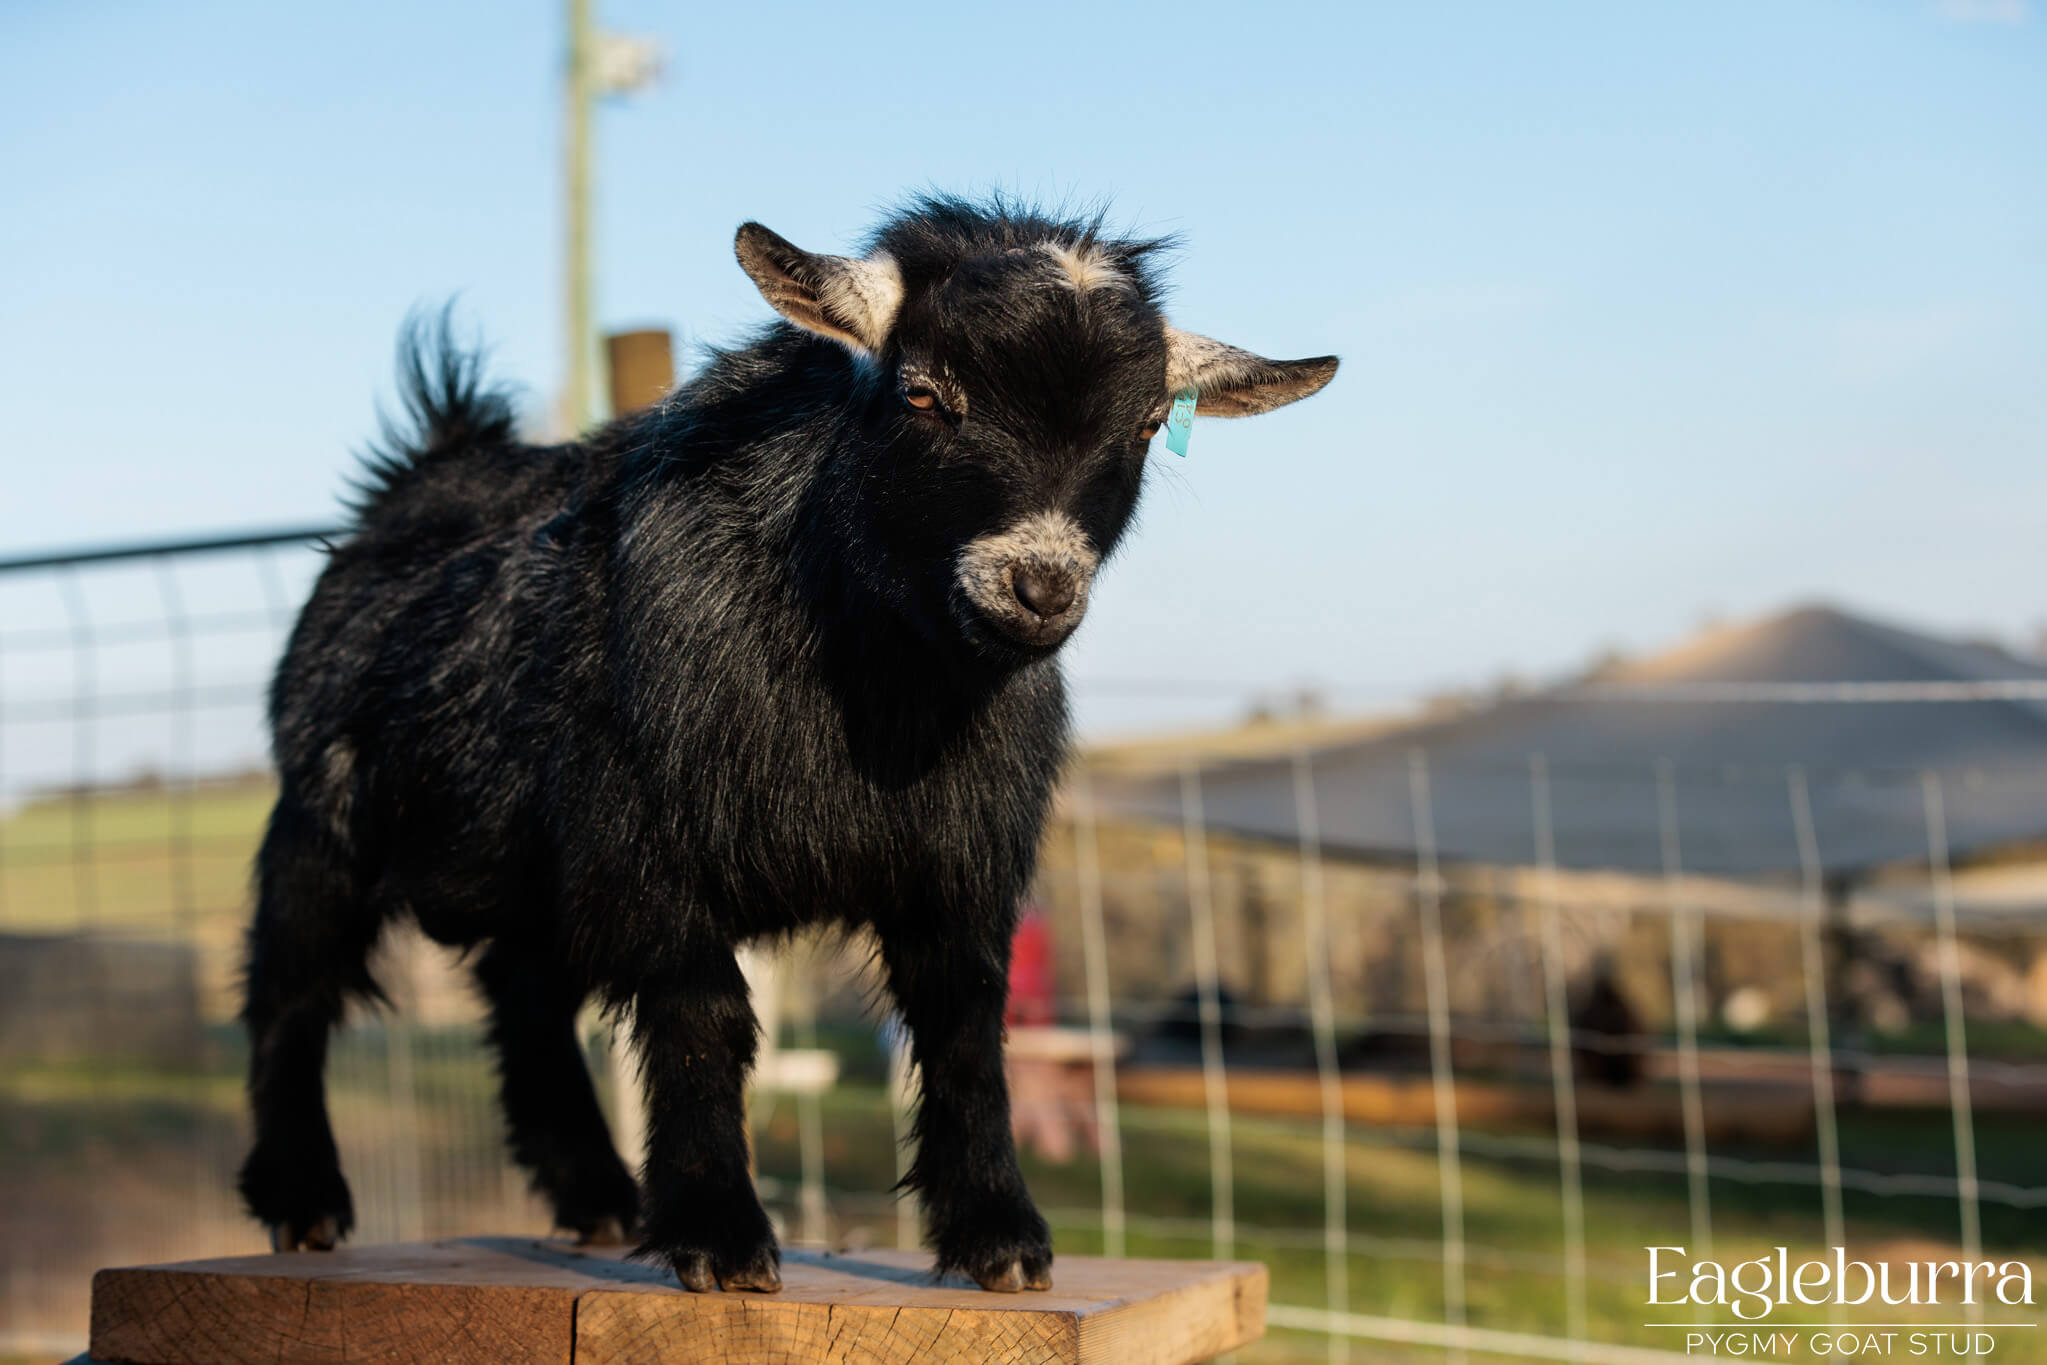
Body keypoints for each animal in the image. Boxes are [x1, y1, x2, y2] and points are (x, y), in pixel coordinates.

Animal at [238, 195, 1337, 1293]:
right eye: (925, 393)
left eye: (1147, 424)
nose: (1038, 586)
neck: (878, 693)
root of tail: (434, 465)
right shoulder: (650, 840)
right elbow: (704, 1017)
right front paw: (720, 1236)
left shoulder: (960, 865)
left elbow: (965, 1029)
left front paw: (998, 1234)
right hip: (323, 814)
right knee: (292, 987)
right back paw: (303, 1200)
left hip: (535, 867)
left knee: (523, 998)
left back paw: (595, 1196)